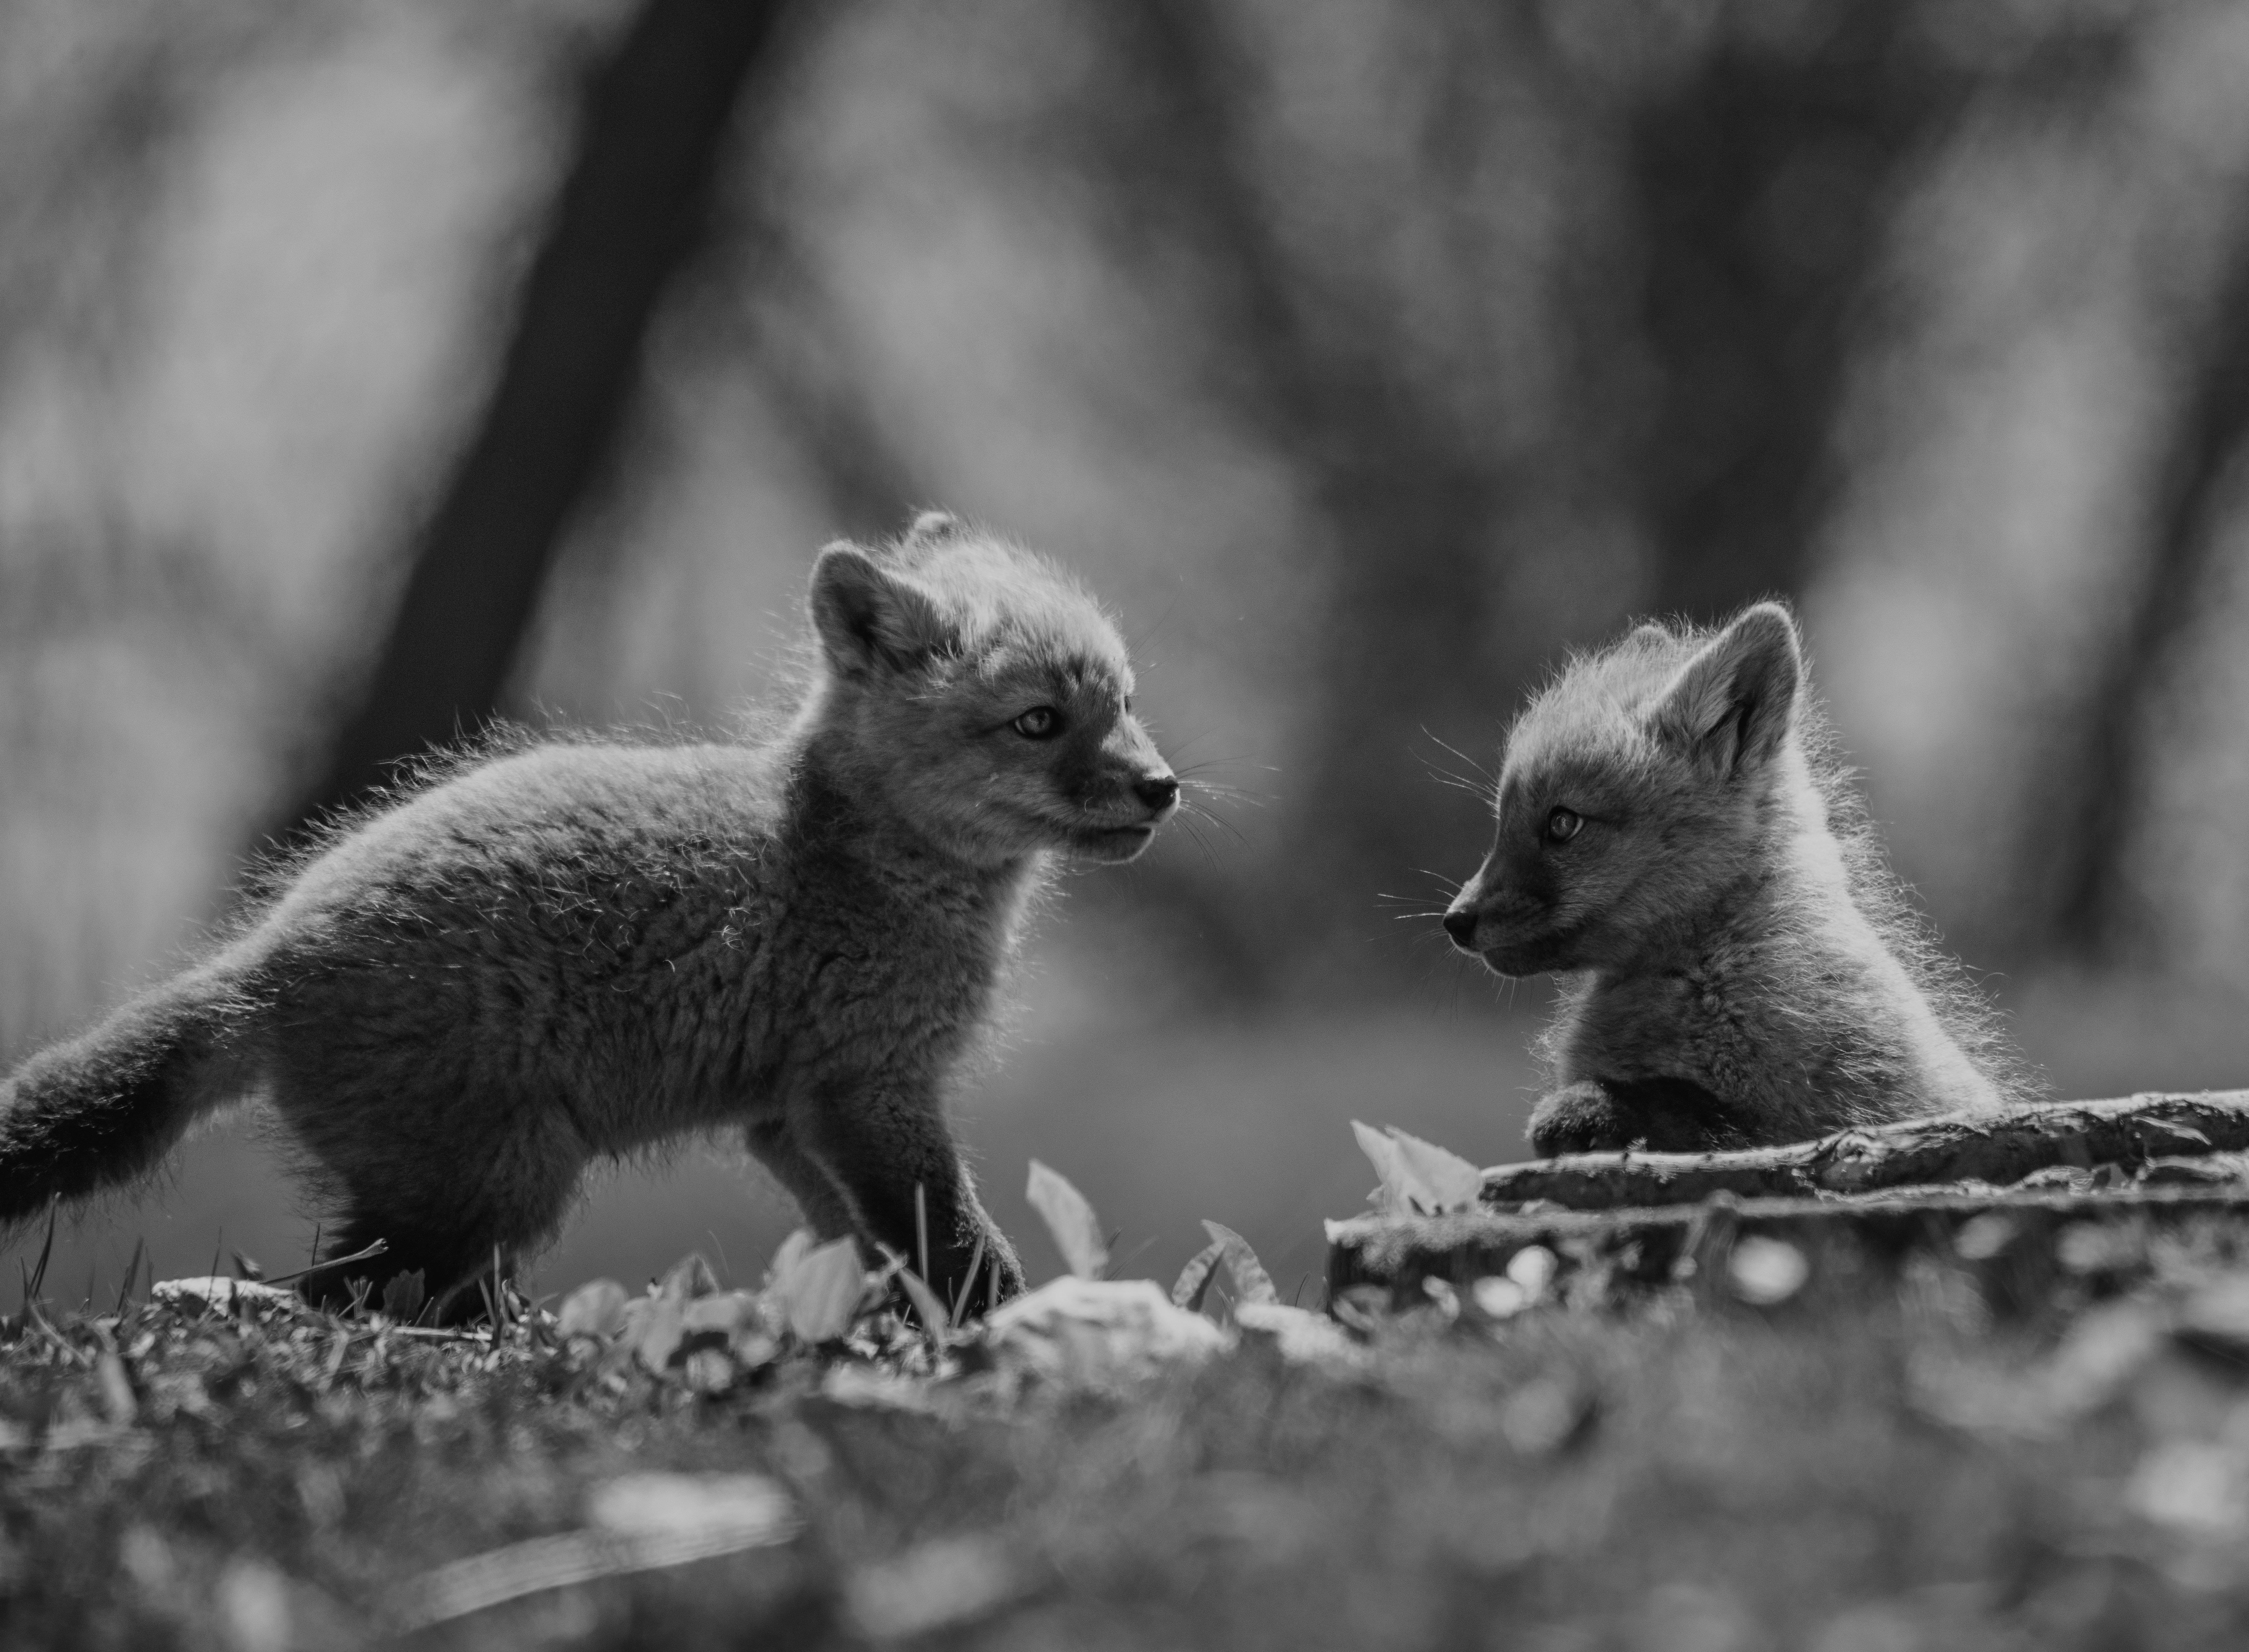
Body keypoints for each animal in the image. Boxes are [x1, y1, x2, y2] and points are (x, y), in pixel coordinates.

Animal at [0, 513, 1178, 1318]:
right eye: (1040, 721)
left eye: (1125, 702)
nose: (1163, 787)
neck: (860, 858)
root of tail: (269, 958)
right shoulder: (871, 1089)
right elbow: (958, 1242)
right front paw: (1006, 1322)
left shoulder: (790, 1115)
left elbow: (871, 1250)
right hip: (507, 1179)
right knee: (350, 1295)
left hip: (477, 1192)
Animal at [1441, 601, 2030, 1156]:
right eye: (1502, 821)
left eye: (1562, 824)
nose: (1454, 921)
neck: (1715, 966)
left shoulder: (1826, 1114)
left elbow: (1693, 1113)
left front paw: (1590, 1114)